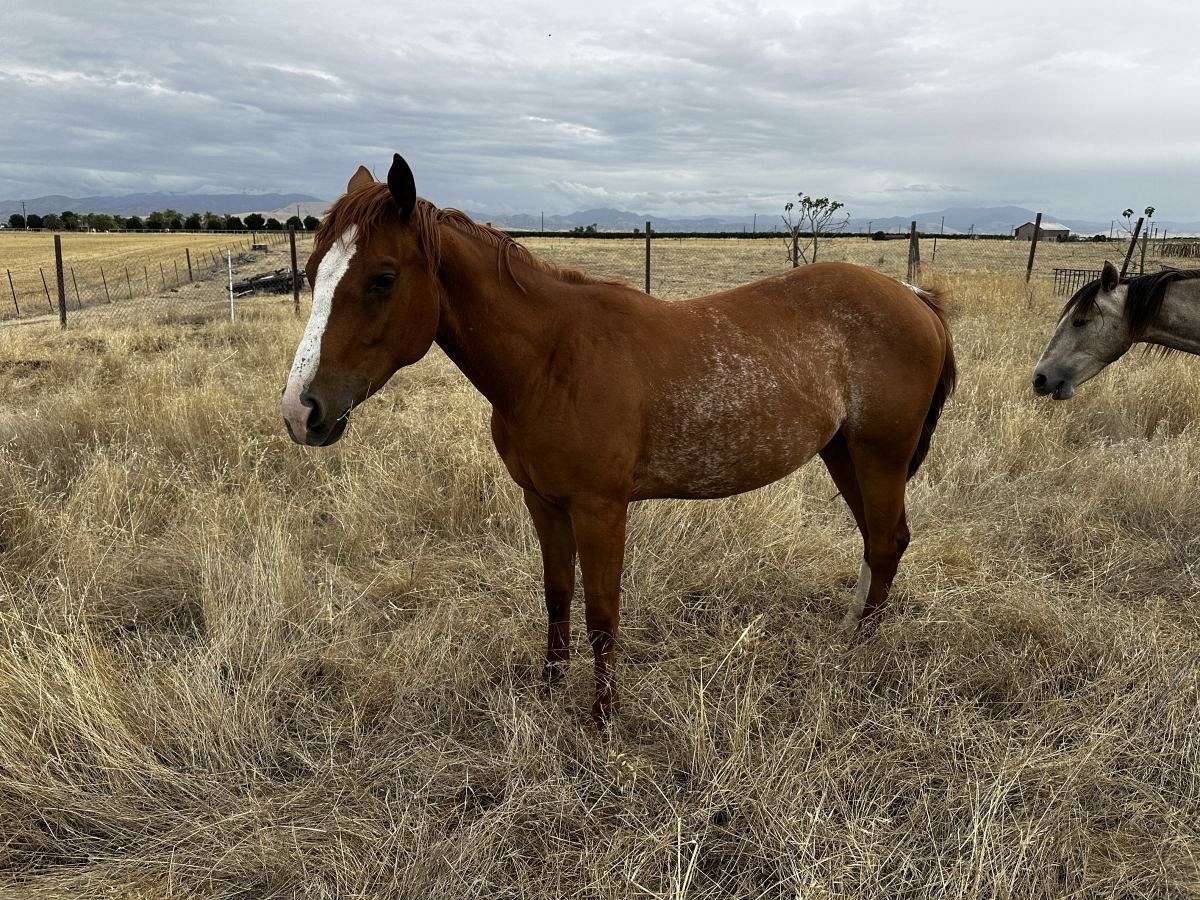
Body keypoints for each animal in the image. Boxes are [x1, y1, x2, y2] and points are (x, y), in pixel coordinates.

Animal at [282, 154, 957, 725]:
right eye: (313, 273)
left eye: (382, 278)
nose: (300, 411)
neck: (551, 359)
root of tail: (916, 297)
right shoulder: (544, 501)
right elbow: (557, 594)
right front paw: (551, 688)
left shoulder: (600, 508)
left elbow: (602, 612)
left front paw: (602, 717)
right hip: (844, 454)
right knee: (878, 541)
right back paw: (853, 629)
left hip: (879, 456)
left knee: (887, 540)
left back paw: (861, 648)